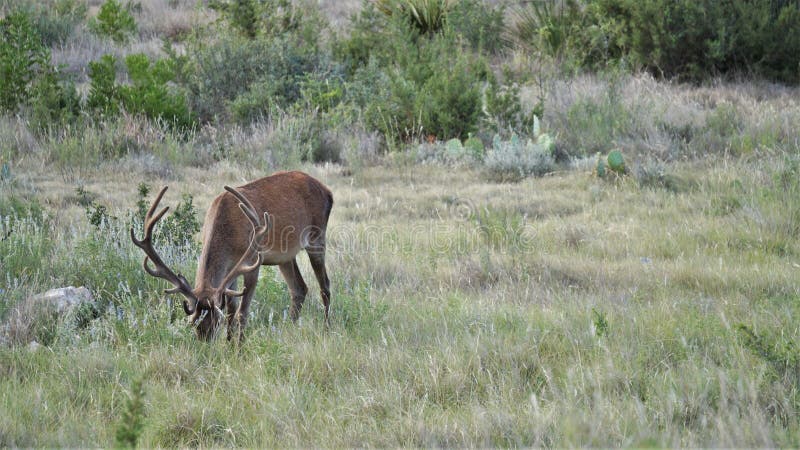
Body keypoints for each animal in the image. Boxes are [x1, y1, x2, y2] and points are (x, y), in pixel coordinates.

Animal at [130, 171, 334, 342]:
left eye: (215, 322)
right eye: (193, 323)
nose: (205, 345)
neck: (227, 231)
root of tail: (327, 191)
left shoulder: (252, 260)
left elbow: (242, 312)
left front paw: (239, 349)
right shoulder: (230, 268)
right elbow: (231, 309)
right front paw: (229, 344)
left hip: (317, 237)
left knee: (324, 285)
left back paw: (327, 330)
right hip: (285, 257)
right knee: (299, 288)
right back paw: (287, 330)